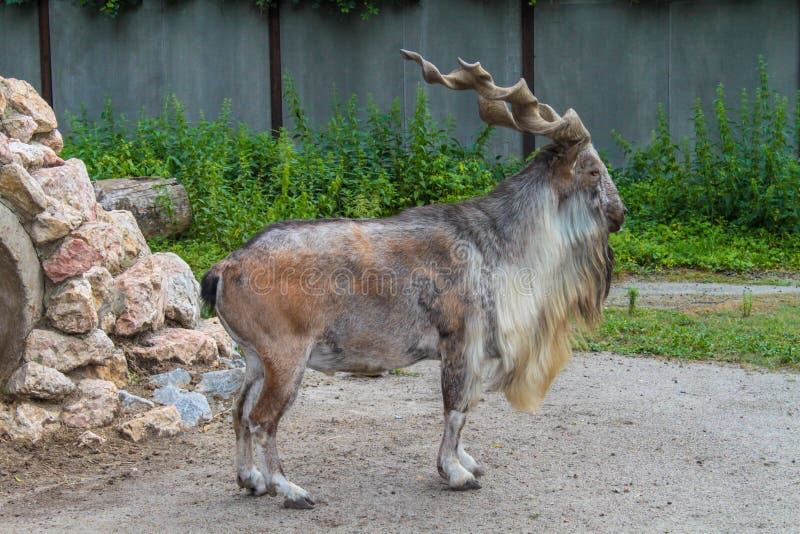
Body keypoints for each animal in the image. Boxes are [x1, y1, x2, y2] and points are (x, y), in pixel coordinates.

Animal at [200, 50, 626, 509]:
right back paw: (290, 489)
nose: (620, 214)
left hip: (254, 359)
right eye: (593, 171)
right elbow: (455, 408)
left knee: (239, 410)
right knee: (263, 419)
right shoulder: (459, 341)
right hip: (285, 358)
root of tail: (227, 267)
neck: (494, 242)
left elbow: (466, 408)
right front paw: (456, 473)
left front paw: (468, 461)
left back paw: (251, 480)